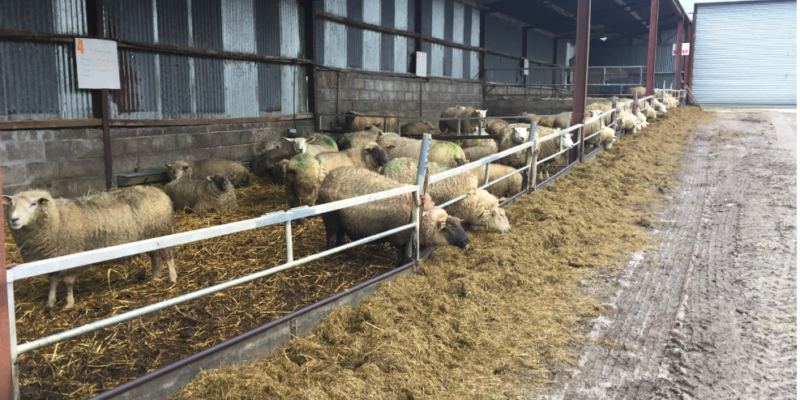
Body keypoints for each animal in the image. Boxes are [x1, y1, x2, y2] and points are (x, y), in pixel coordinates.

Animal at [3, 186, 177, 309]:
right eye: (11, 204)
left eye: (33, 204)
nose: (13, 220)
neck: (57, 218)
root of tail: (160, 192)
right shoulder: (51, 259)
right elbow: (52, 280)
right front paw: (50, 302)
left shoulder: (72, 257)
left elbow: (68, 282)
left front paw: (68, 303)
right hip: (150, 238)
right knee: (156, 257)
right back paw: (155, 278)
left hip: (162, 232)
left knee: (168, 257)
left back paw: (172, 278)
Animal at [318, 167, 470, 265]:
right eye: (450, 228)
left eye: (459, 225)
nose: (467, 241)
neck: (421, 217)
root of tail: (329, 176)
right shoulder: (400, 237)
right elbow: (401, 252)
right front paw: (400, 264)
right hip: (330, 218)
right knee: (331, 235)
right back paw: (328, 257)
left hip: (342, 219)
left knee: (340, 233)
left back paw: (343, 249)